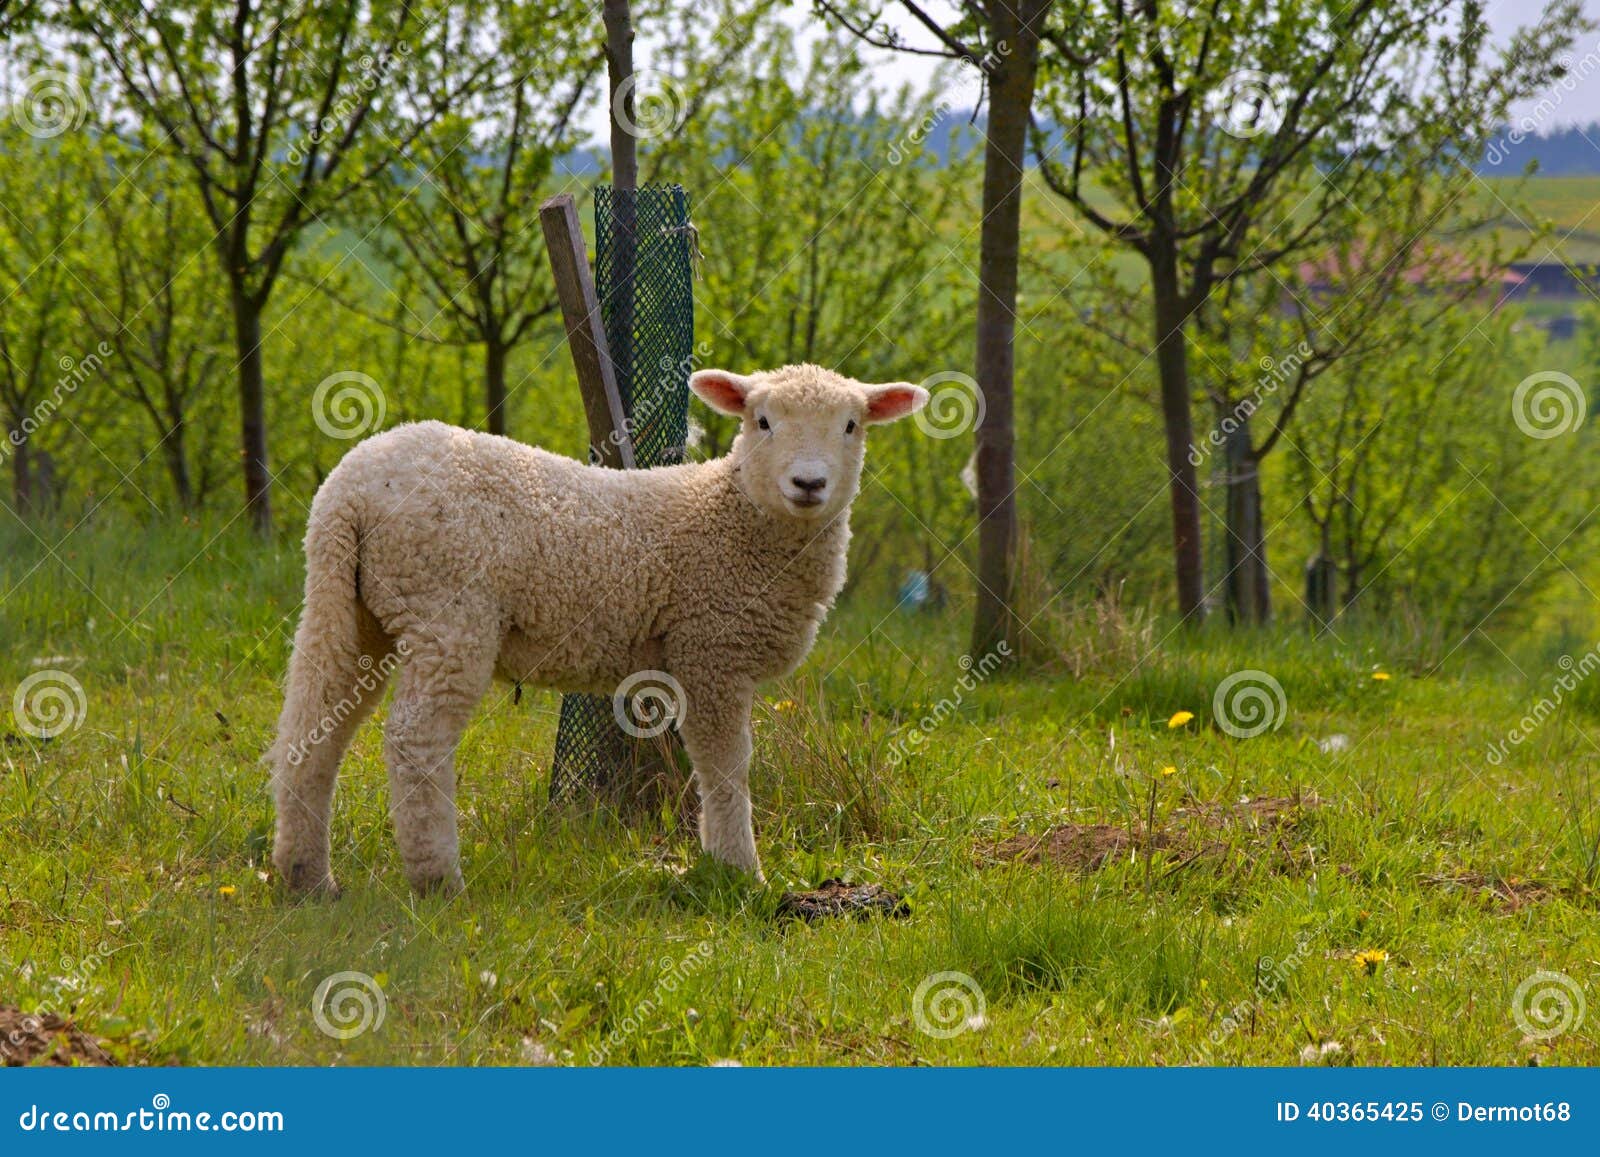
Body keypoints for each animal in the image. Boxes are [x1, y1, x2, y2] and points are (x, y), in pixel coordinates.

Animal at [267, 363, 929, 895]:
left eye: (852, 426)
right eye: (762, 421)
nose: (809, 484)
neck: (735, 517)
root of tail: (348, 491)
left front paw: (722, 865)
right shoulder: (709, 645)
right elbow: (725, 763)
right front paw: (739, 872)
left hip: (351, 606)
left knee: (311, 730)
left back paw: (307, 879)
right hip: (448, 609)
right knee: (415, 739)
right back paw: (438, 880)